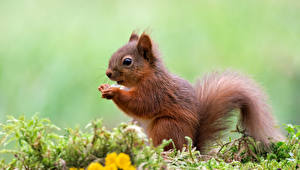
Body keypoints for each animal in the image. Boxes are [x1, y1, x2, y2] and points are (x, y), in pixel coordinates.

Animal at [98, 32, 284, 151]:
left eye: (127, 61)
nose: (108, 73)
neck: (146, 75)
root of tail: (193, 147)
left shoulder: (155, 89)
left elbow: (141, 104)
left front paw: (113, 92)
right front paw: (105, 88)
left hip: (166, 126)